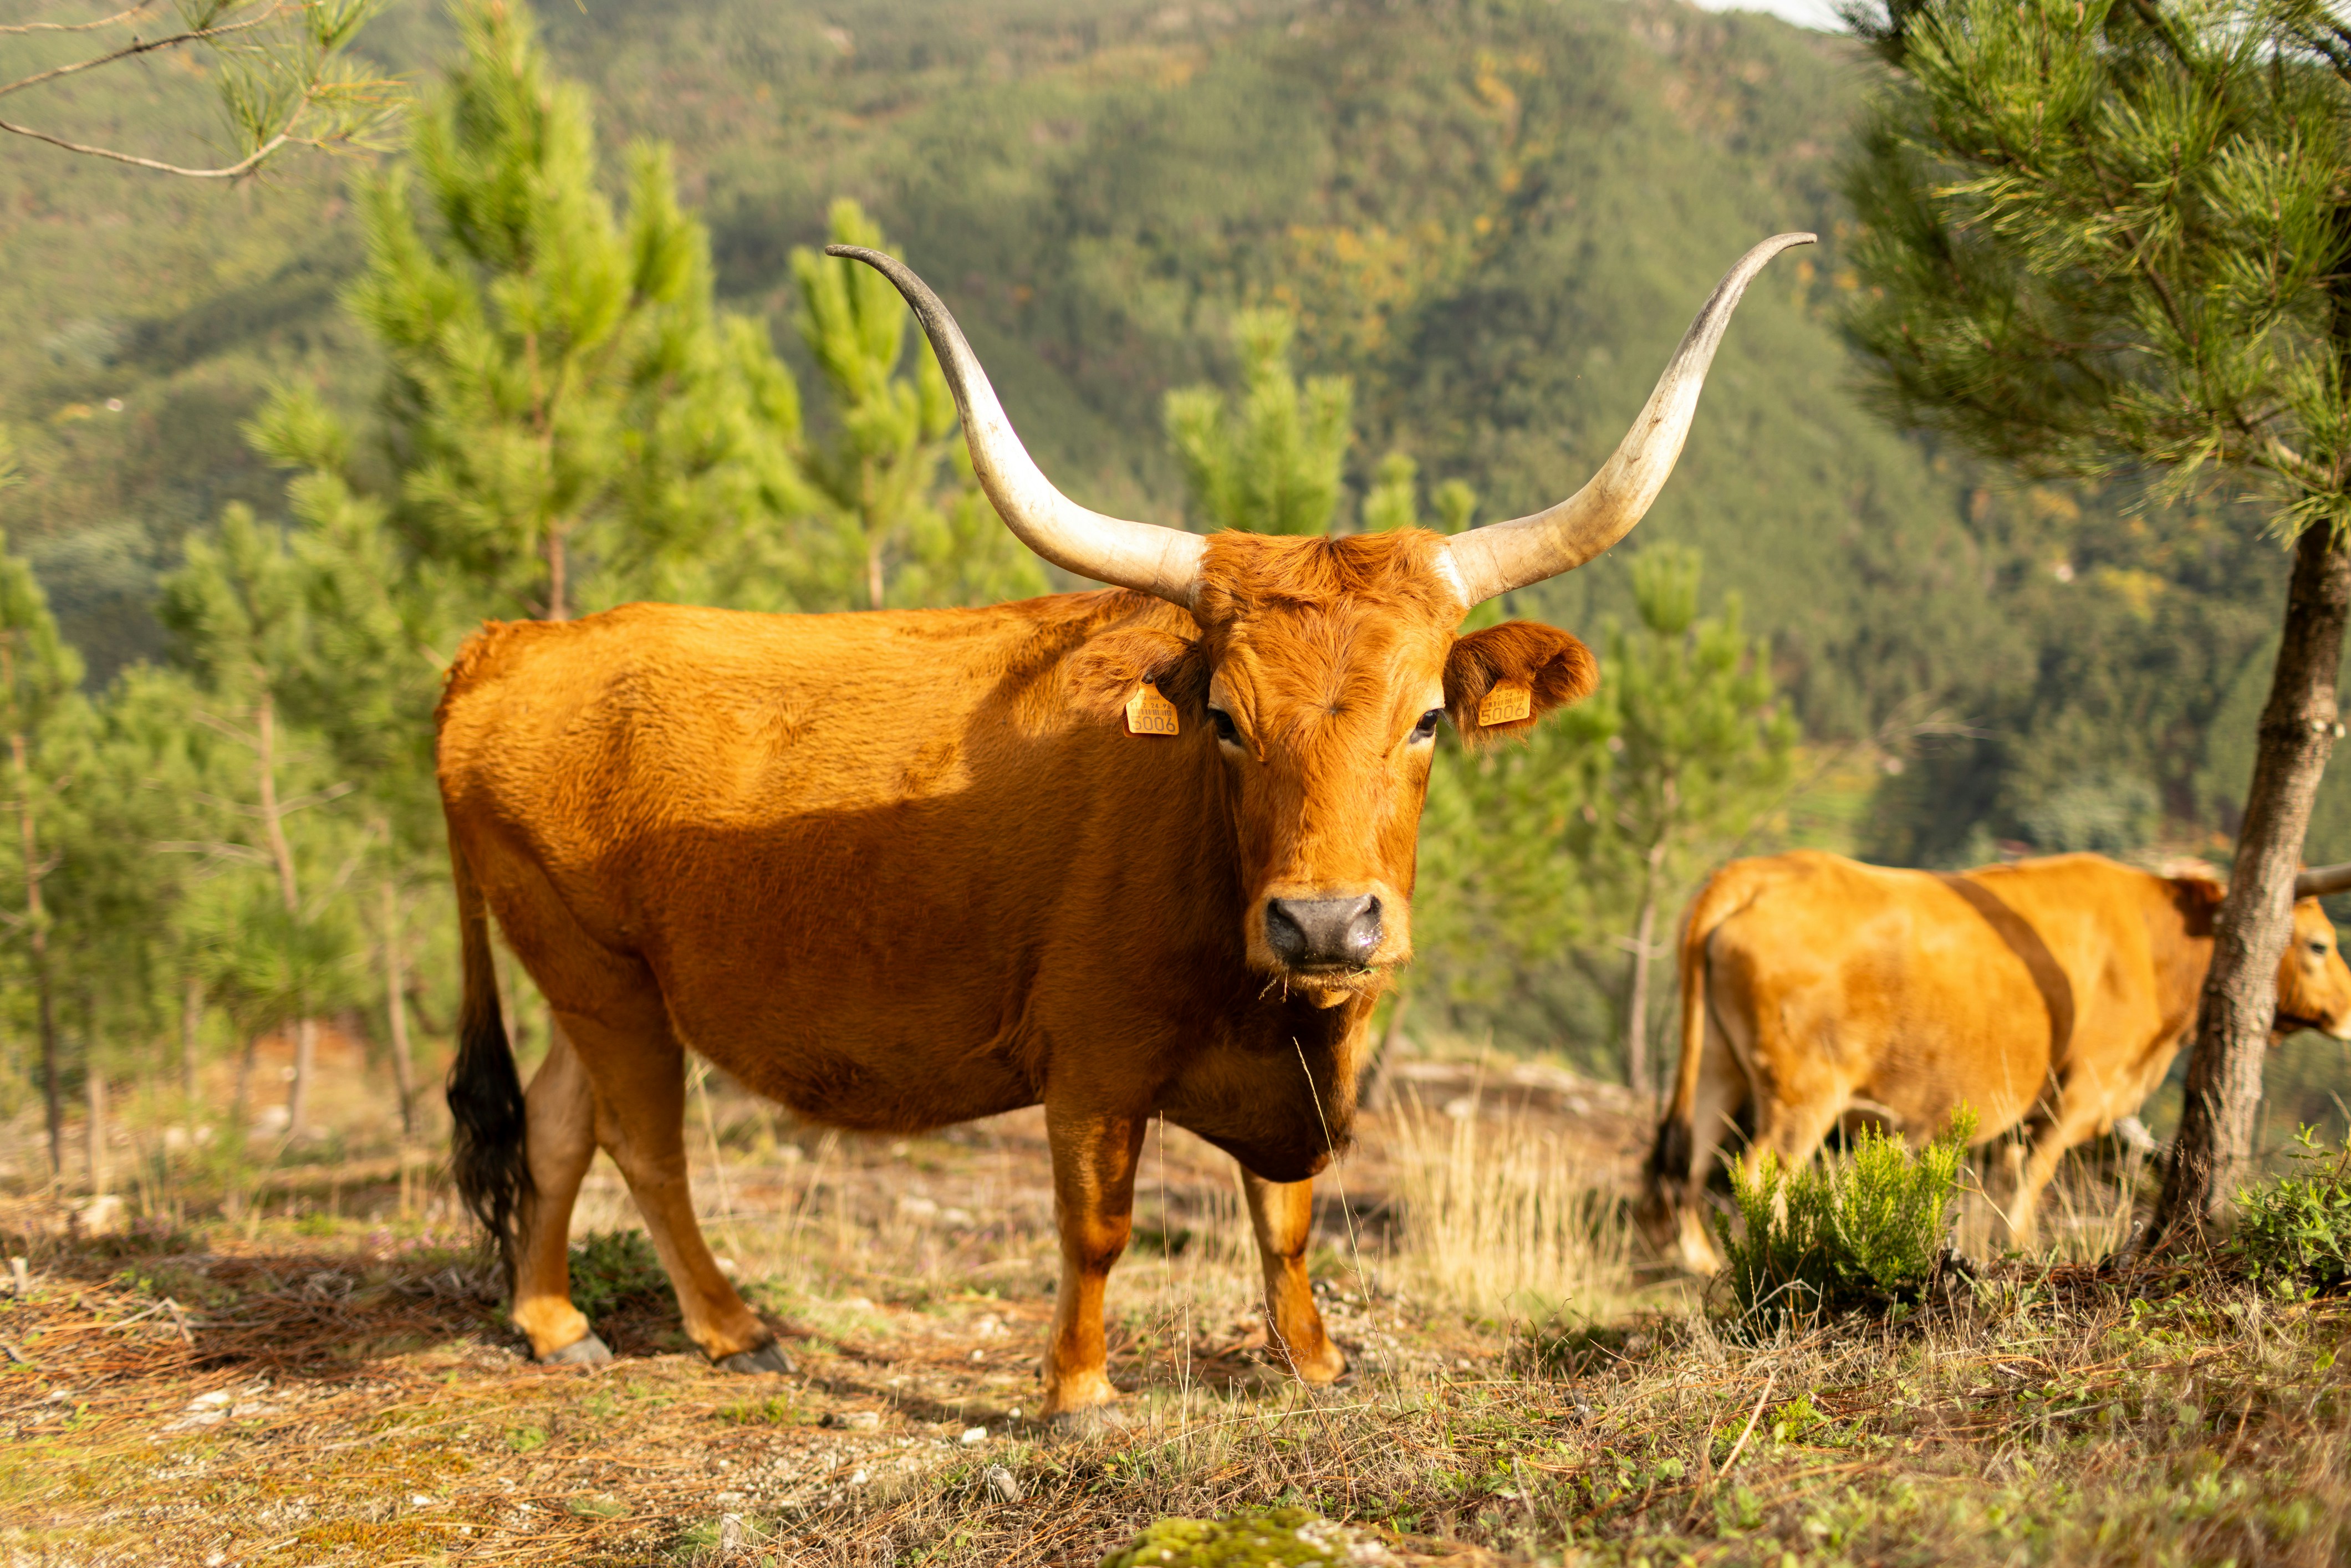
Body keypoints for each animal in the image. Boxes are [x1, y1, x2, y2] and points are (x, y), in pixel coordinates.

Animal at [437, 233, 1813, 1415]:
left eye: (1426, 717)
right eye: (1225, 719)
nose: (1324, 922)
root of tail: (517, 643)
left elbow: (1284, 1212)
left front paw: (1312, 1358)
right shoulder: (1092, 1063)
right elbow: (1097, 1223)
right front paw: (1079, 1390)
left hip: (593, 979)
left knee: (558, 1124)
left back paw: (554, 1321)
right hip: (601, 975)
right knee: (641, 1139)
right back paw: (731, 1327)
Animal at [1639, 850, 2351, 1274]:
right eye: (2318, 944)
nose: (2348, 1010)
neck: (2157, 944)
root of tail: (1758, 871)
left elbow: (2013, 1172)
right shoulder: (2080, 1092)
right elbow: (2031, 1178)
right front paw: (2018, 1251)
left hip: (1719, 1072)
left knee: (1689, 1168)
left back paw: (1705, 1264)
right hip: (1803, 1093)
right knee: (1758, 1176)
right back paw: (1779, 1257)